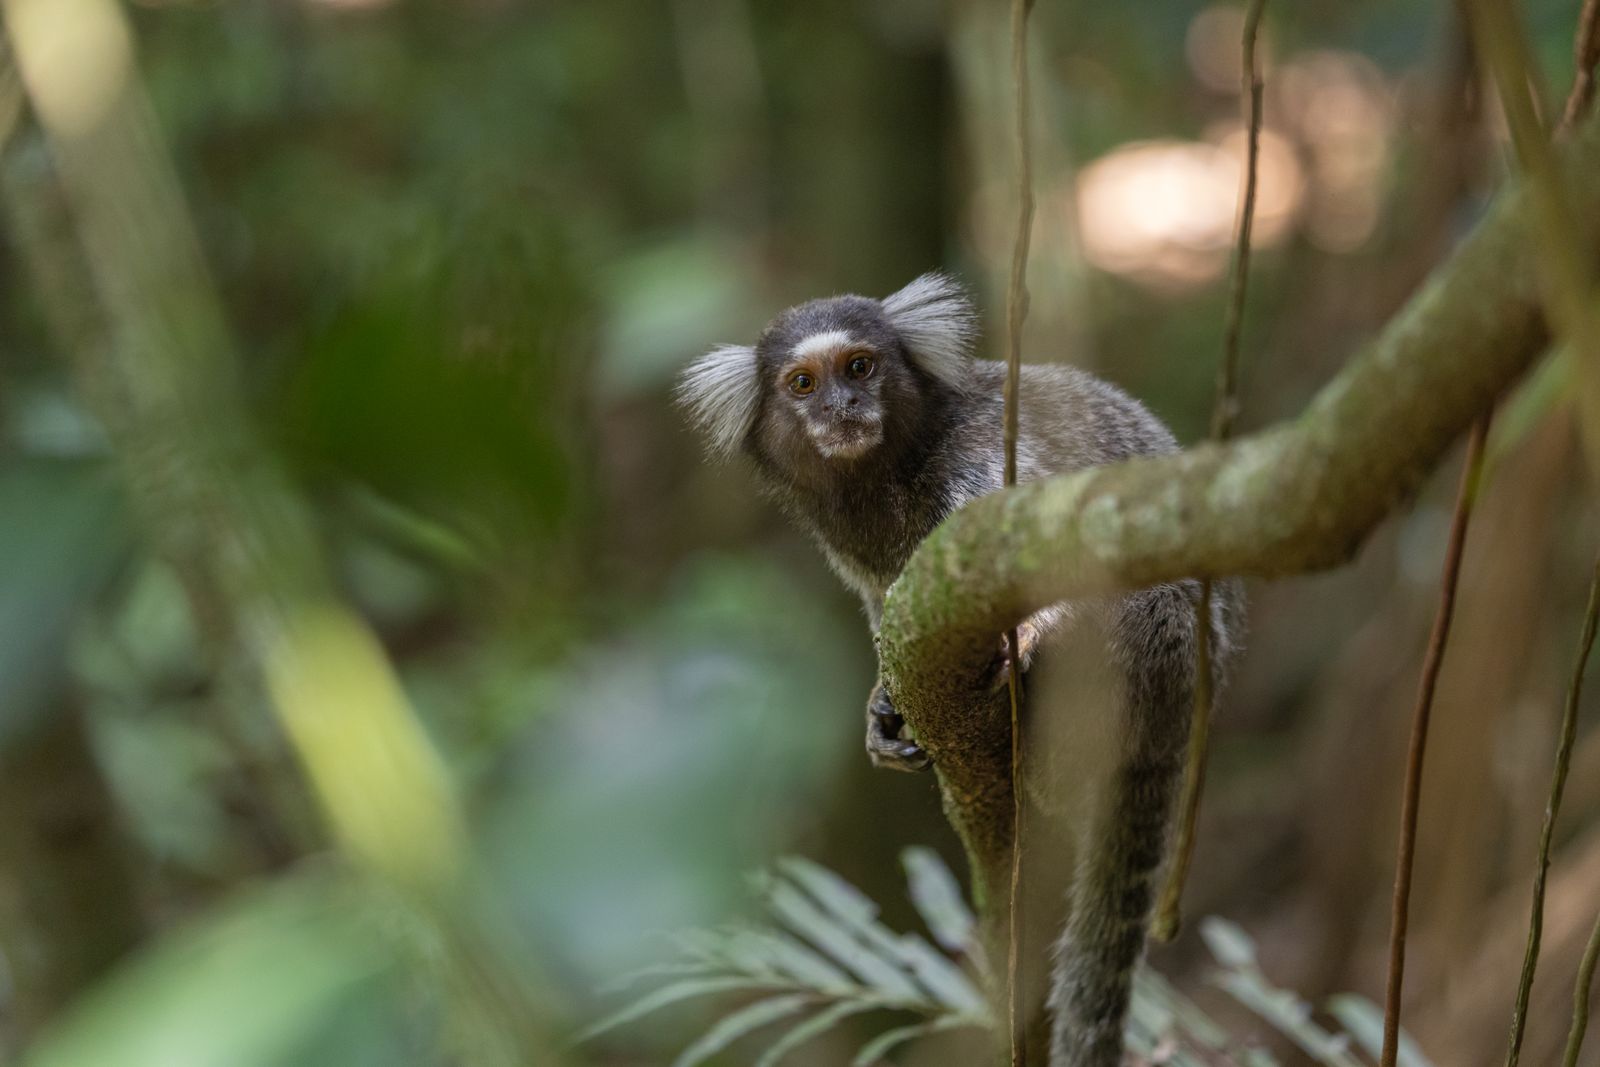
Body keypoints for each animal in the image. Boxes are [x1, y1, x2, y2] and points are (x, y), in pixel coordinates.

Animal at [677, 273, 1241, 1067]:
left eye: (860, 367)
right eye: (802, 383)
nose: (842, 408)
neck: (889, 470)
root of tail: (1187, 697)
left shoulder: (983, 459)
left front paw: (1029, 629)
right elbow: (885, 606)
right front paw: (884, 713)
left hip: (1170, 644)